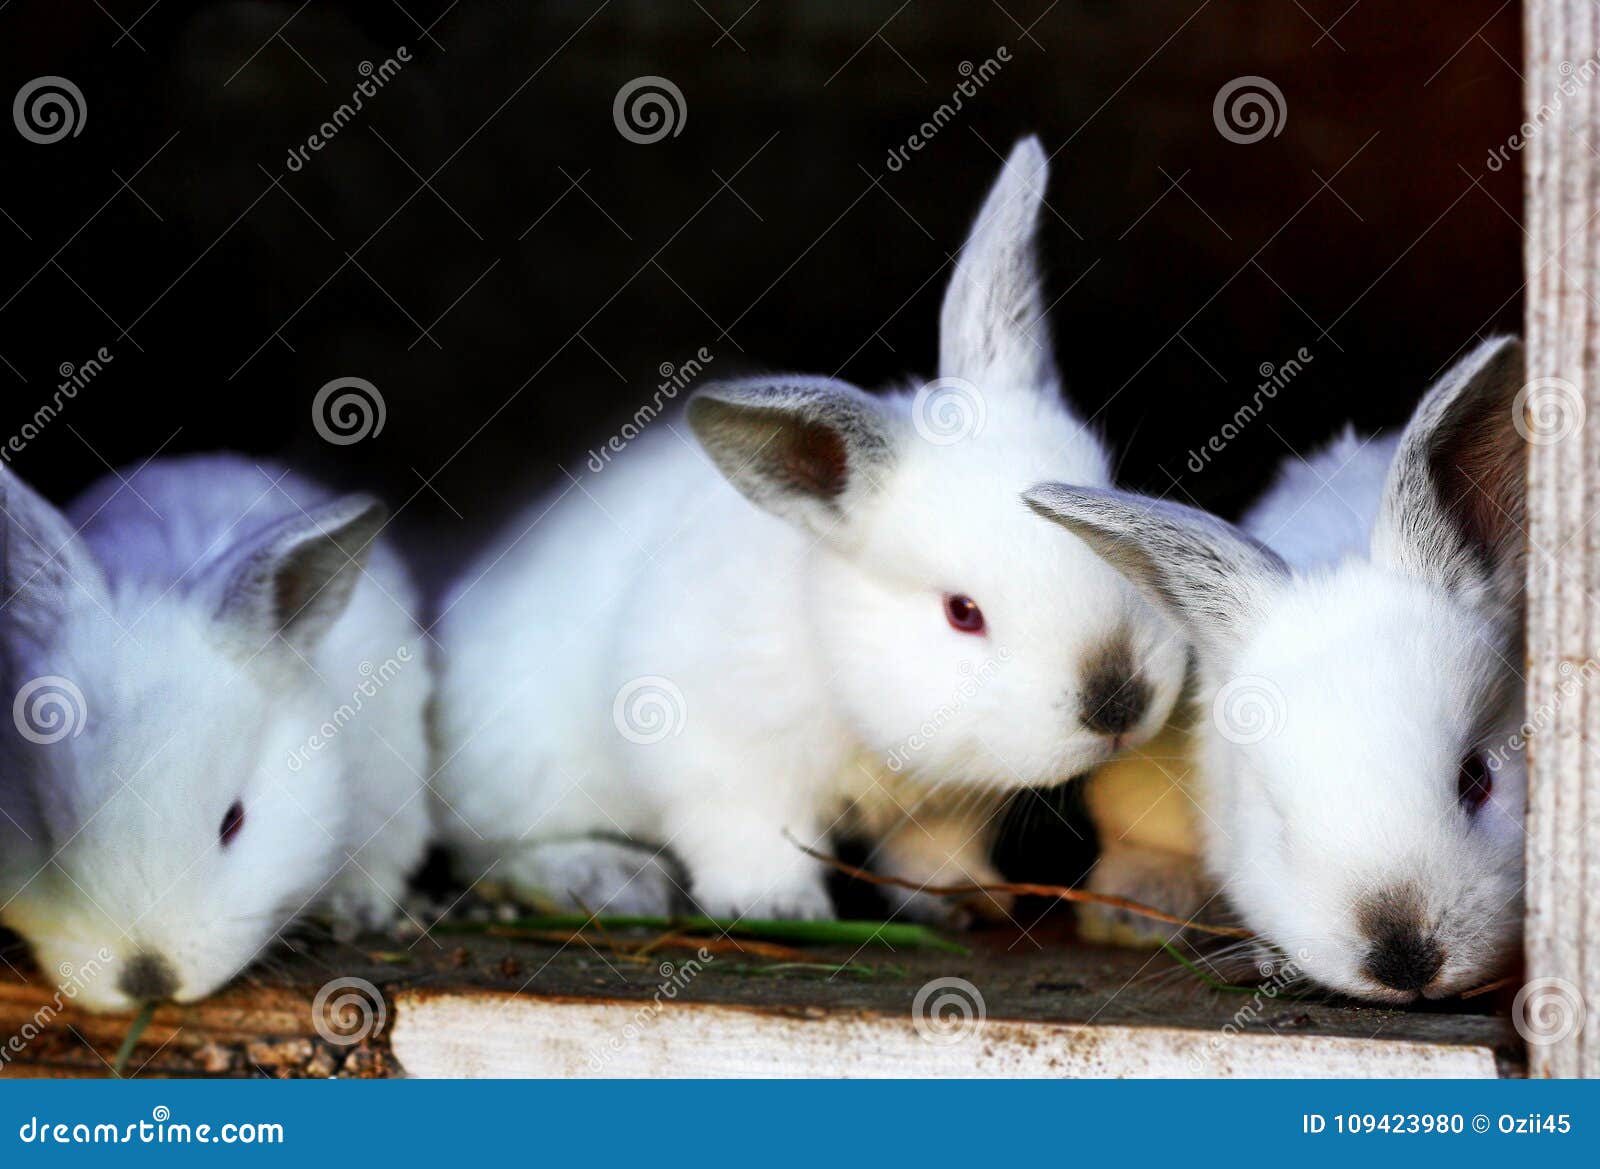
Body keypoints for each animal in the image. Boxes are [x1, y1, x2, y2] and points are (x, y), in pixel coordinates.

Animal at [431, 137, 1188, 923]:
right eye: (962, 612)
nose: (1119, 702)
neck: (836, 648)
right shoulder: (722, 757)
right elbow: (751, 835)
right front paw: (777, 907)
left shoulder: (948, 801)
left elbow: (931, 849)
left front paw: (960, 898)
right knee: (490, 849)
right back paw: (606, 876)